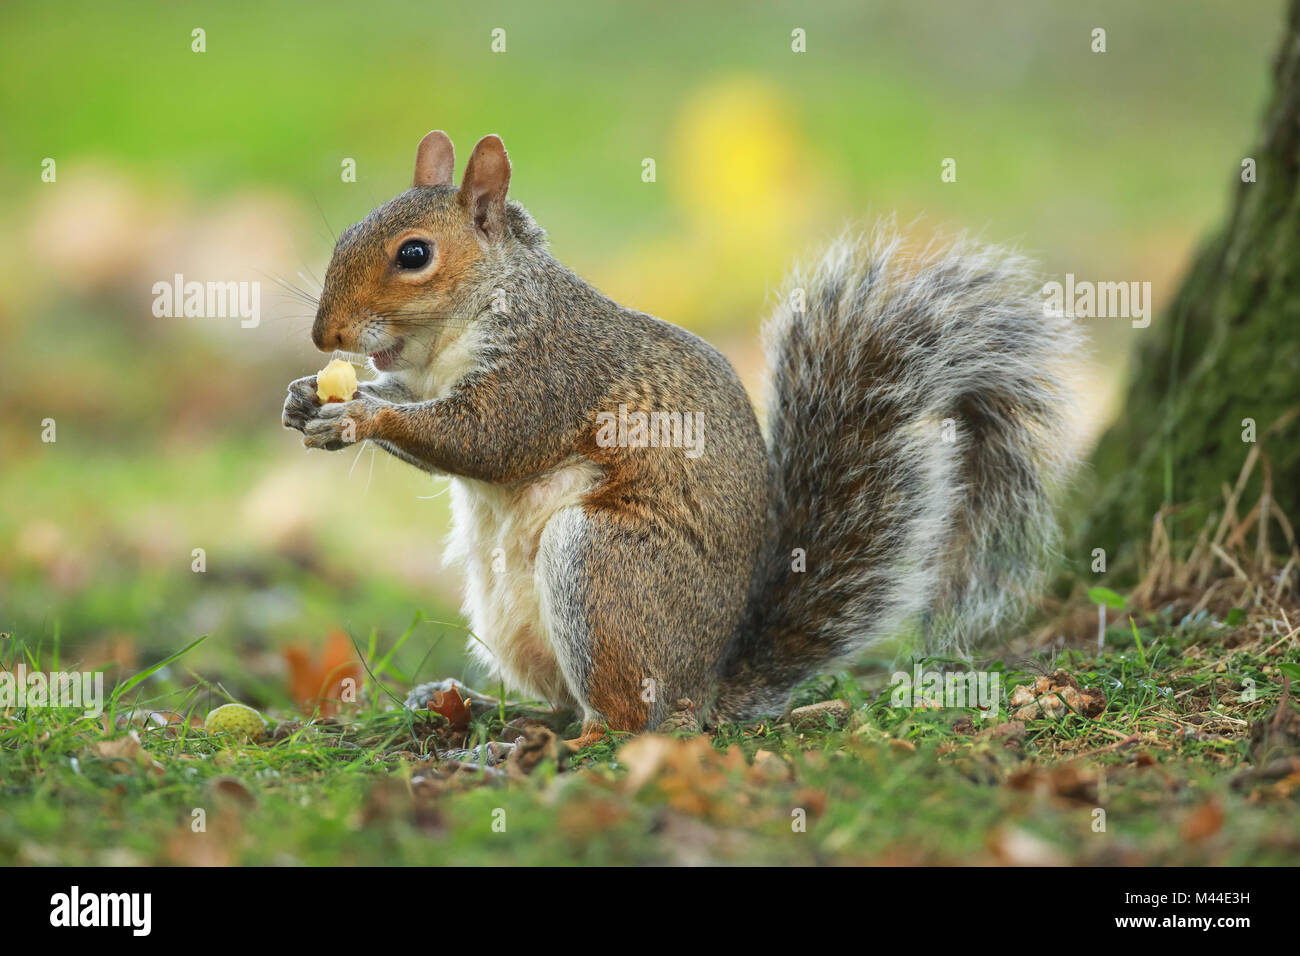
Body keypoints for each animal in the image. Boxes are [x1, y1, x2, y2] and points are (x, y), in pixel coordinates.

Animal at [282, 130, 1080, 746]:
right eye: (347, 234)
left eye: (414, 255)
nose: (325, 335)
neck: (467, 324)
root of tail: (707, 686)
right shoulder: (427, 379)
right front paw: (307, 400)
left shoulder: (551, 371)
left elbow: (487, 439)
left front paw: (360, 417)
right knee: (566, 701)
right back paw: (480, 709)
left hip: (602, 568)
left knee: (630, 721)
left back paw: (551, 741)